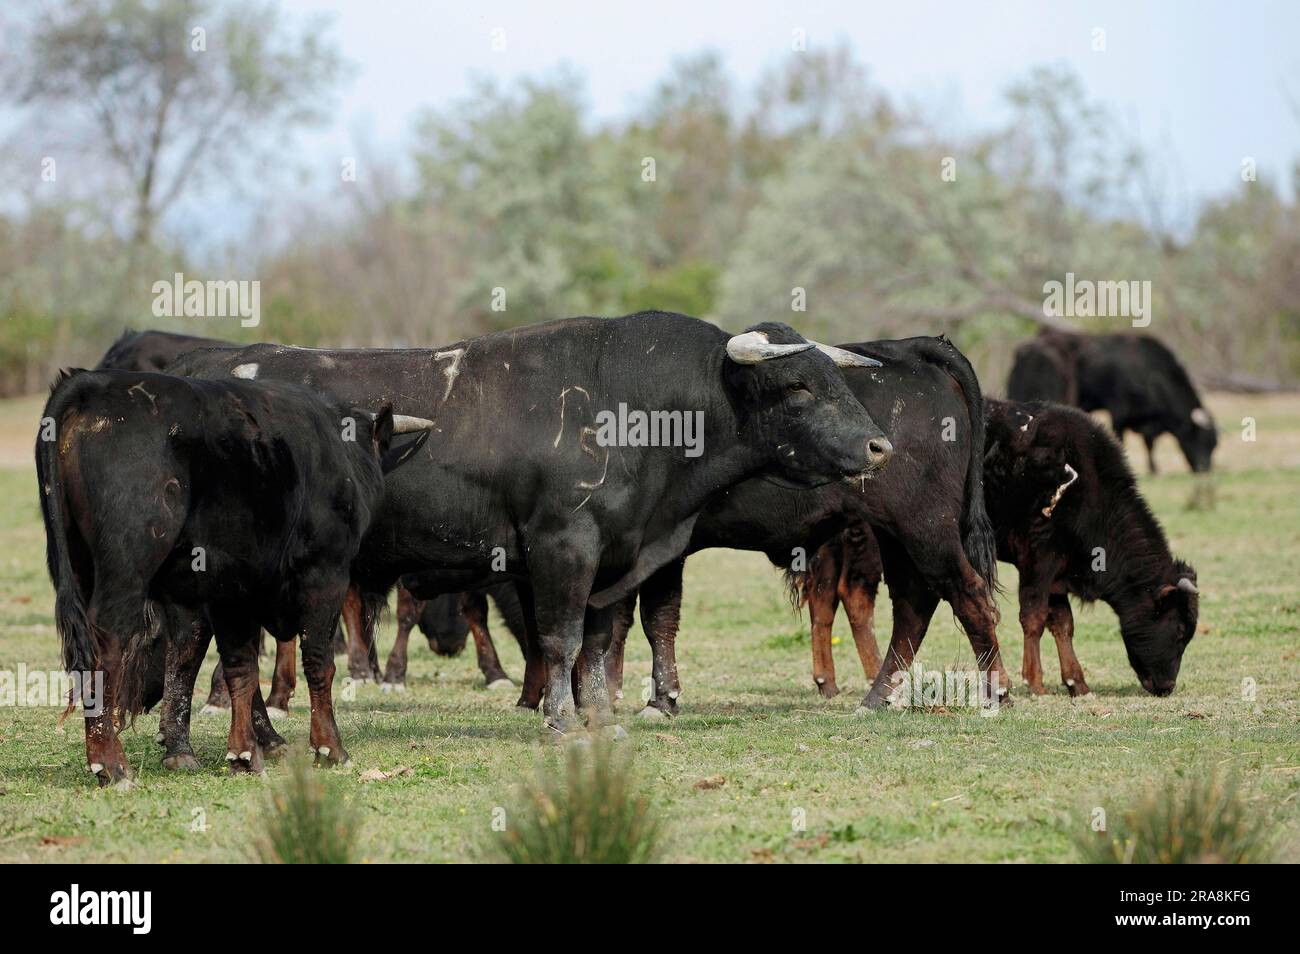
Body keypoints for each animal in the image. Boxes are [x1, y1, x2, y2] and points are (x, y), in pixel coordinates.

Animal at [36, 368, 431, 784]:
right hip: (126, 571)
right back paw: (111, 764)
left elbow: (224, 663)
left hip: (83, 569)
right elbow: (317, 659)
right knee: (106, 645)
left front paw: (237, 750)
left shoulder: (223, 592)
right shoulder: (324, 576)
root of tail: (91, 384)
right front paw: (328, 747)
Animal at [166, 312, 893, 734]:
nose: (880, 446)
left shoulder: (614, 558)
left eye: (835, 376)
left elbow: (598, 644)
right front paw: (562, 721)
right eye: (797, 385)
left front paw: (600, 717)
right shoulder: (562, 548)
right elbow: (561, 640)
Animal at [605, 335, 1008, 715]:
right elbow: (642, 617)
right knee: (914, 603)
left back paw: (997, 692)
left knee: (968, 594)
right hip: (894, 534)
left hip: (926, 527)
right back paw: (876, 698)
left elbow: (641, 618)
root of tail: (909, 348)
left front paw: (637, 699)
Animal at [796, 398, 1201, 699]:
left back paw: (828, 682)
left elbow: (1062, 623)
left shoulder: (1055, 570)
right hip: (866, 544)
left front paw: (1076, 683)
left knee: (824, 601)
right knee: (855, 597)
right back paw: (870, 673)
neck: (1080, 479)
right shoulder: (1038, 557)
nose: (1166, 686)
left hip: (832, 544)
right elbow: (1034, 617)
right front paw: (1035, 682)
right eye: (1180, 629)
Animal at [1007, 331, 1217, 474]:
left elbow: (1149, 444)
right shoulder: (1119, 410)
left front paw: (1153, 469)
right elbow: (1121, 437)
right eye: (1203, 439)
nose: (1205, 469)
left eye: (1214, 444)